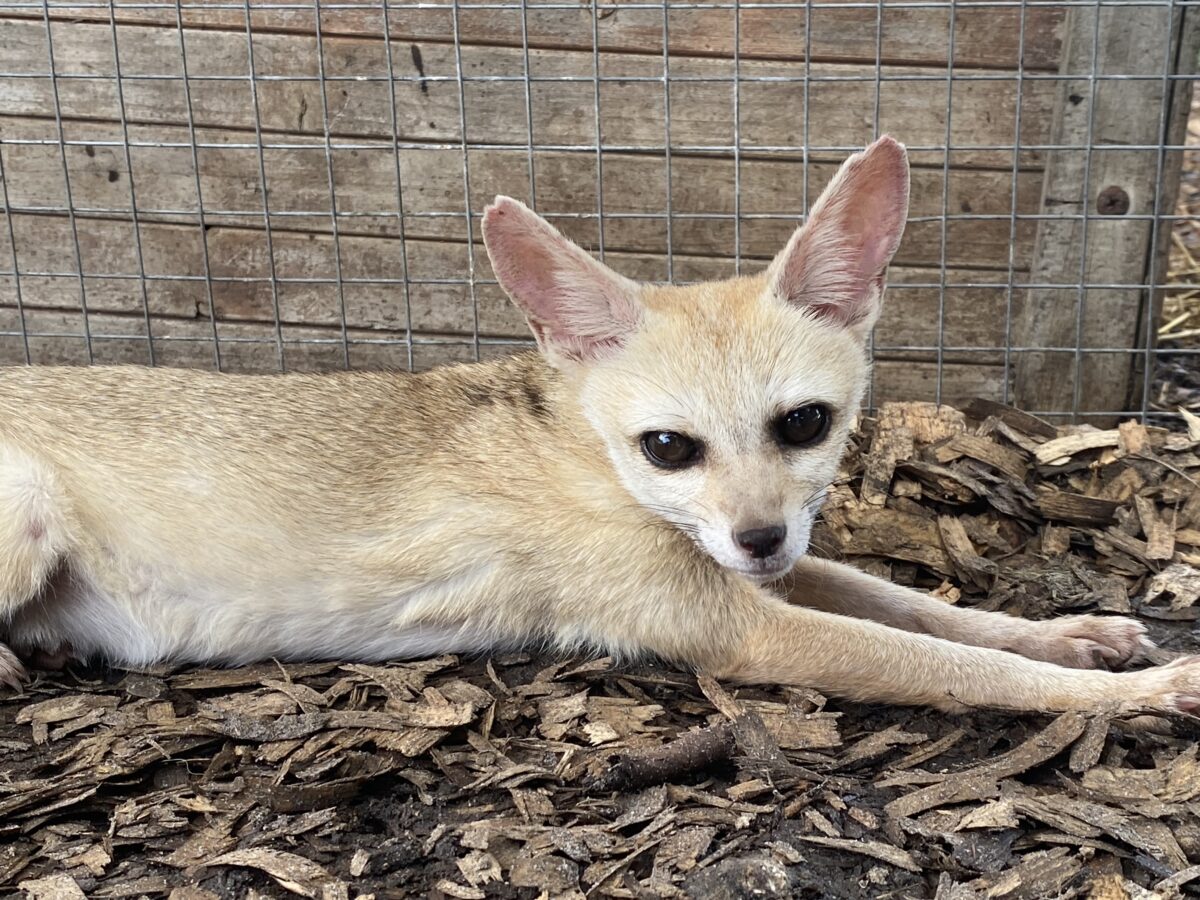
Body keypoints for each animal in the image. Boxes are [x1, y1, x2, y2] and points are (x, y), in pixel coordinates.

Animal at [0, 135, 1197, 716]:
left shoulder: (757, 574)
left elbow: (930, 611)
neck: (583, 455)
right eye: (668, 447)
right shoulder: (737, 625)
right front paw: (1137, 694)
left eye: (806, 423)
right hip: (25, 518)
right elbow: (959, 667)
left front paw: (1072, 635)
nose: (759, 538)